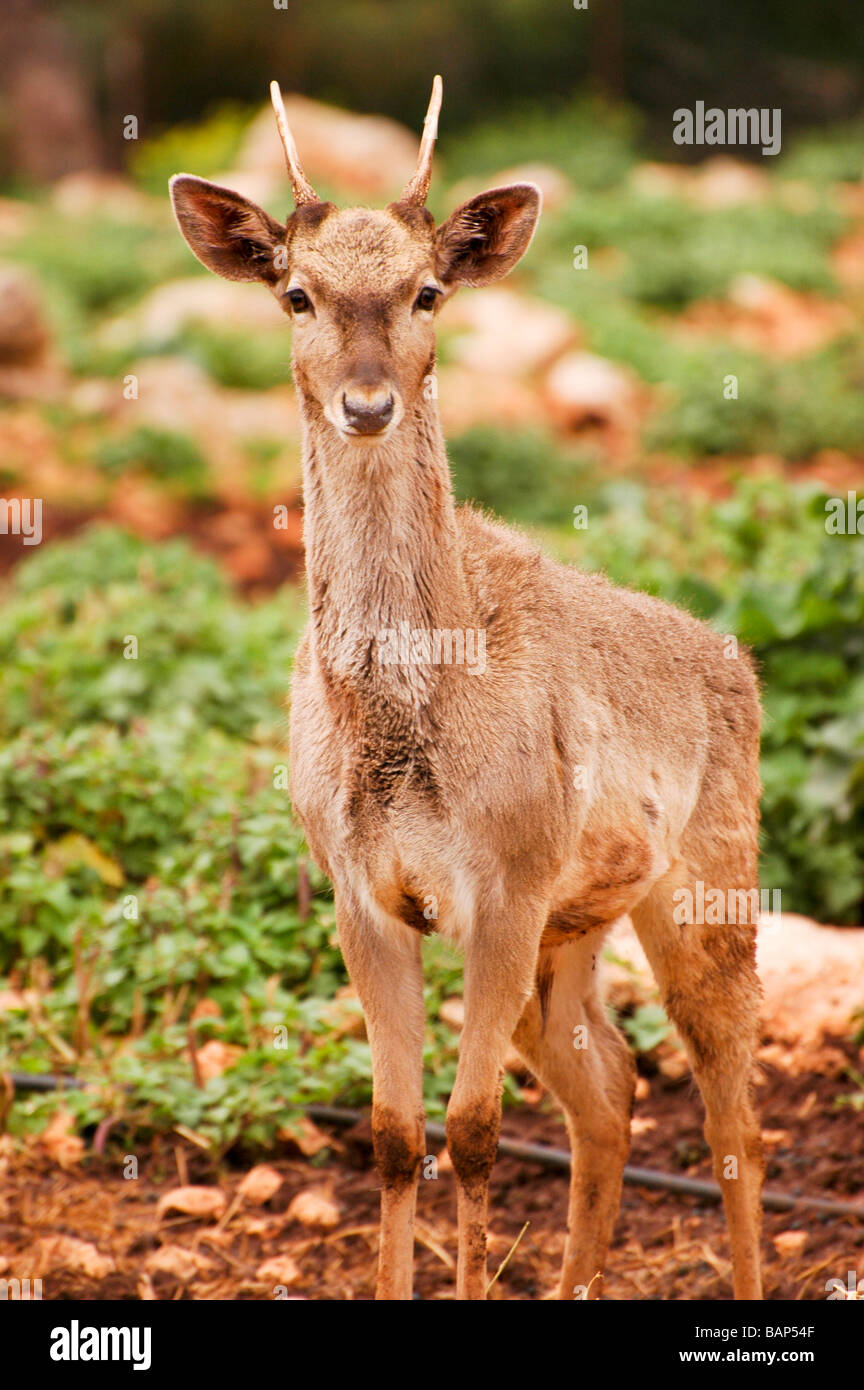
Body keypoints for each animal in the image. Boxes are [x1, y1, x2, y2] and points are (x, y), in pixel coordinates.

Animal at [170, 76, 764, 1302]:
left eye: (426, 289)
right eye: (296, 293)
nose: (365, 402)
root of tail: (739, 661)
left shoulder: (510, 875)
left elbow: (476, 1131)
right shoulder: (363, 890)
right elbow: (398, 1136)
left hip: (707, 880)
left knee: (733, 1113)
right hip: (574, 926)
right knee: (612, 1089)